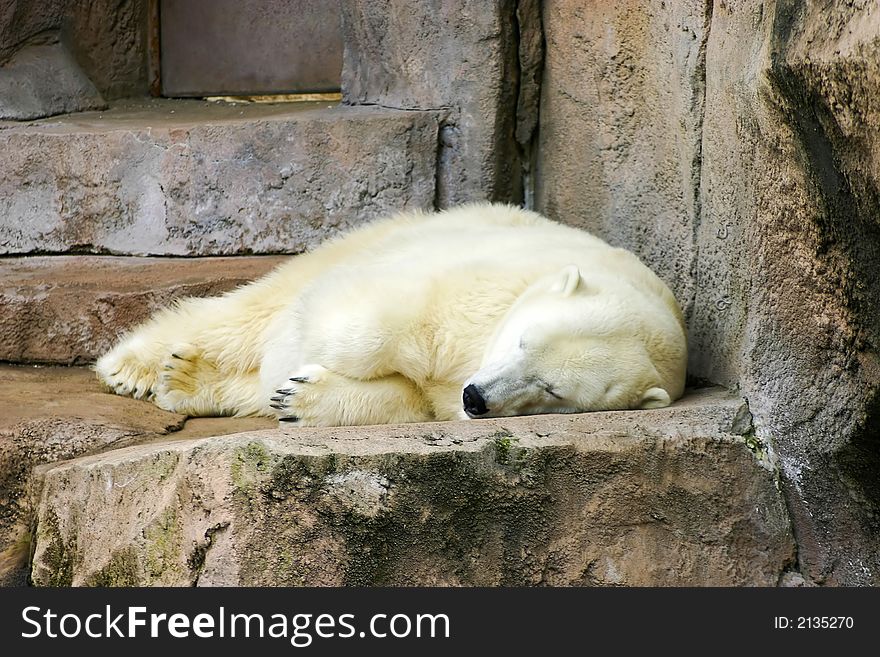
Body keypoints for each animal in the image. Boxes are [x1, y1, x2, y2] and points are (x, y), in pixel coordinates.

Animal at [94, 203, 687, 426]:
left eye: (553, 390)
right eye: (524, 340)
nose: (477, 398)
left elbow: (413, 400)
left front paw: (298, 396)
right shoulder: (481, 284)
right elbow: (375, 318)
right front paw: (288, 366)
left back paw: (188, 380)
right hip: (394, 234)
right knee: (256, 306)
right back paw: (138, 368)